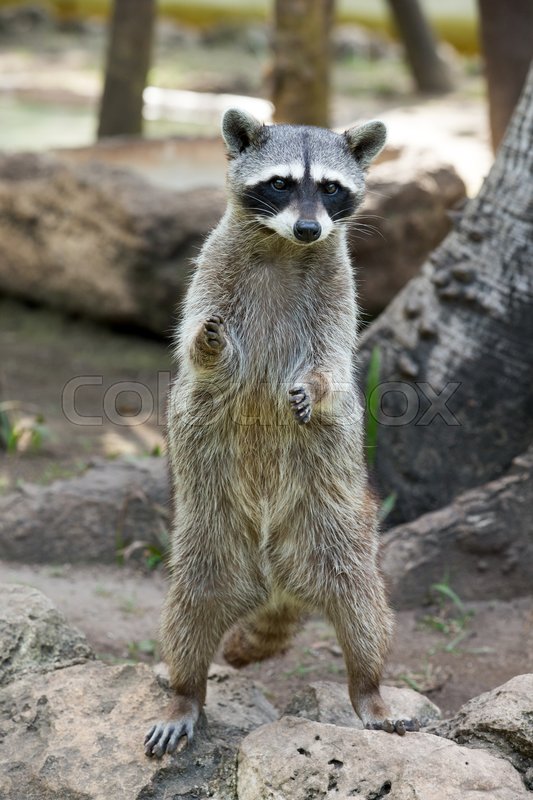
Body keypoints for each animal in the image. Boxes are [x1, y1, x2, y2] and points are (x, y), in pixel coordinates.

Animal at [144, 109, 419, 758]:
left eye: (330, 188)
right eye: (280, 183)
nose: (309, 228)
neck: (281, 247)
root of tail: (274, 584)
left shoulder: (339, 289)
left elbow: (332, 361)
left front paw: (315, 387)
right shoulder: (212, 270)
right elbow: (194, 343)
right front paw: (208, 347)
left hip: (338, 532)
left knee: (364, 611)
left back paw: (369, 688)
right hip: (206, 543)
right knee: (187, 615)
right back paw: (184, 690)